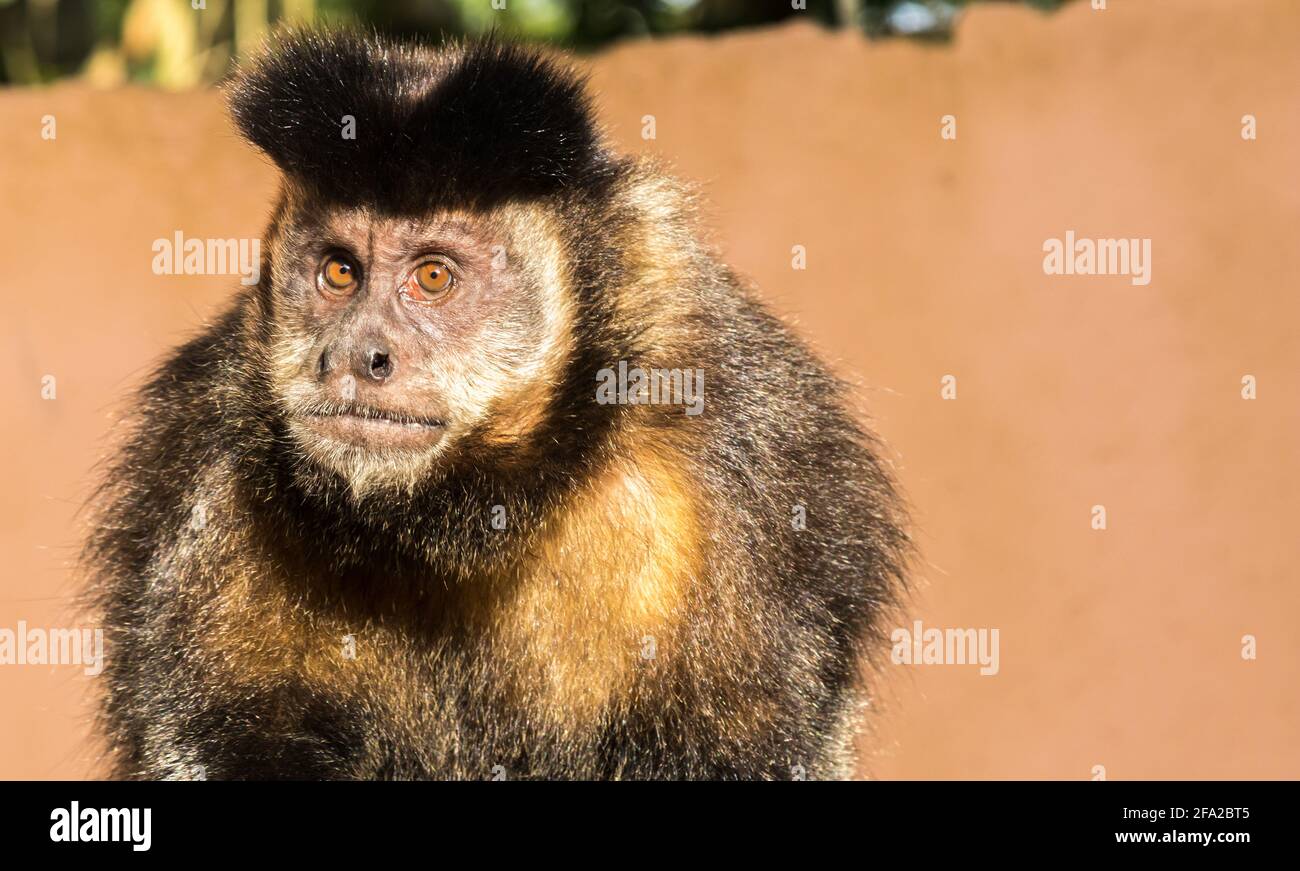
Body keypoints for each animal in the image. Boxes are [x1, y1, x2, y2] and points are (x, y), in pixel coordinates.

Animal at [85, 30, 909, 780]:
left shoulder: (750, 469)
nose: (354, 354)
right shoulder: (209, 455)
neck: (474, 512)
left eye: (433, 277)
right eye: (339, 272)